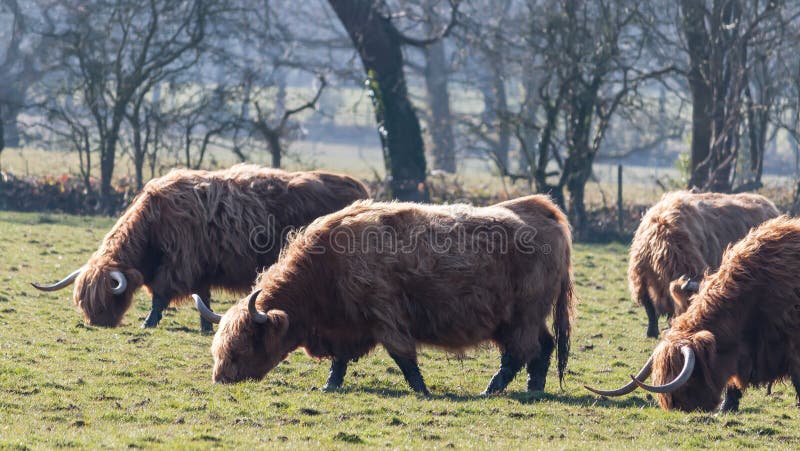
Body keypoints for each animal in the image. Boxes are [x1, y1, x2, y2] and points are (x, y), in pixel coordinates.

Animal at [32, 164, 369, 332]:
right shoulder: (200, 270)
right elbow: (201, 298)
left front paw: (147, 323)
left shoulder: (179, 264)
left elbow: (160, 297)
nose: (98, 324)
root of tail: (357, 186)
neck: (155, 222)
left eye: (105, 300)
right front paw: (206, 327)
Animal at [194, 195, 576, 395]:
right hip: (526, 317)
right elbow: (340, 361)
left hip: (523, 315)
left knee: (519, 352)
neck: (325, 270)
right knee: (543, 347)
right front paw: (330, 386)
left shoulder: (385, 317)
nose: (221, 378)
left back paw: (491, 389)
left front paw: (421, 390)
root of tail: (540, 208)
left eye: (243, 345)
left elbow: (403, 357)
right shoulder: (345, 326)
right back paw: (534, 388)